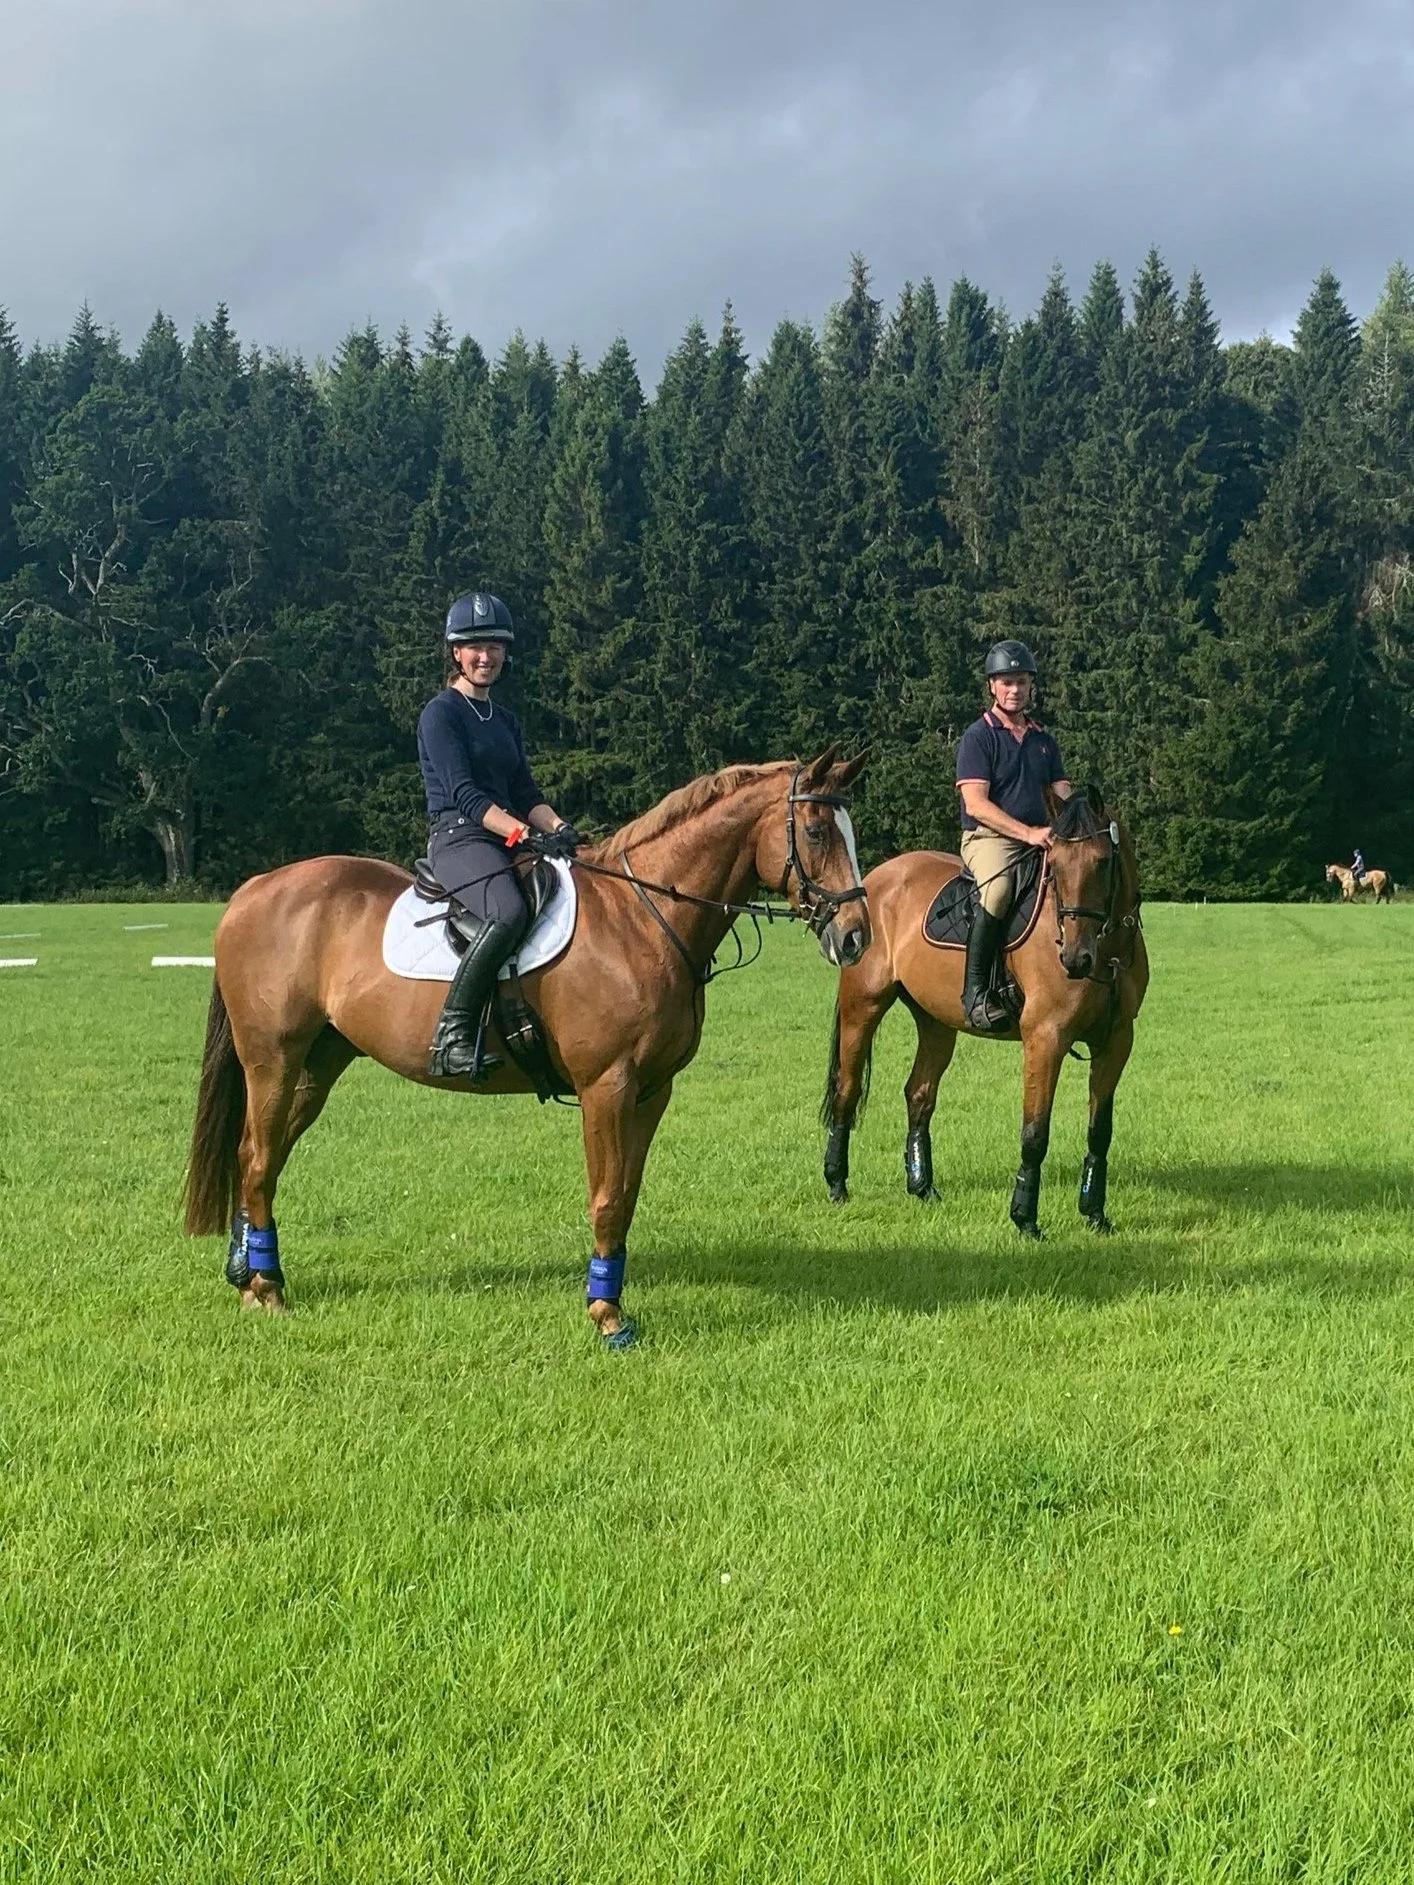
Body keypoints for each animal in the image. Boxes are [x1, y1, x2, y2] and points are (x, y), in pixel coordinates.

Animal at [183, 749, 871, 1343]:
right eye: (816, 832)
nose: (855, 937)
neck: (642, 918)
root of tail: (253, 890)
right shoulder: (607, 1087)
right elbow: (606, 1198)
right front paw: (607, 1317)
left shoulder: (652, 1090)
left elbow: (627, 1196)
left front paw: (611, 1299)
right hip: (272, 1061)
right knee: (256, 1159)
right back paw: (268, 1290)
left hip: (316, 1066)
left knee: (260, 1160)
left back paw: (248, 1277)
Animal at [820, 785, 1147, 1237]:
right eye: (1054, 866)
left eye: (1101, 862)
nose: (1075, 958)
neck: (1108, 953)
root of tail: (874, 881)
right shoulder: (1045, 1039)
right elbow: (1035, 1132)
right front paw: (1025, 1219)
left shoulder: (1117, 1042)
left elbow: (1100, 1132)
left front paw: (1095, 1215)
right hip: (862, 1008)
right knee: (848, 1091)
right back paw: (837, 1183)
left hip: (936, 1022)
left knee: (919, 1093)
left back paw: (922, 1187)